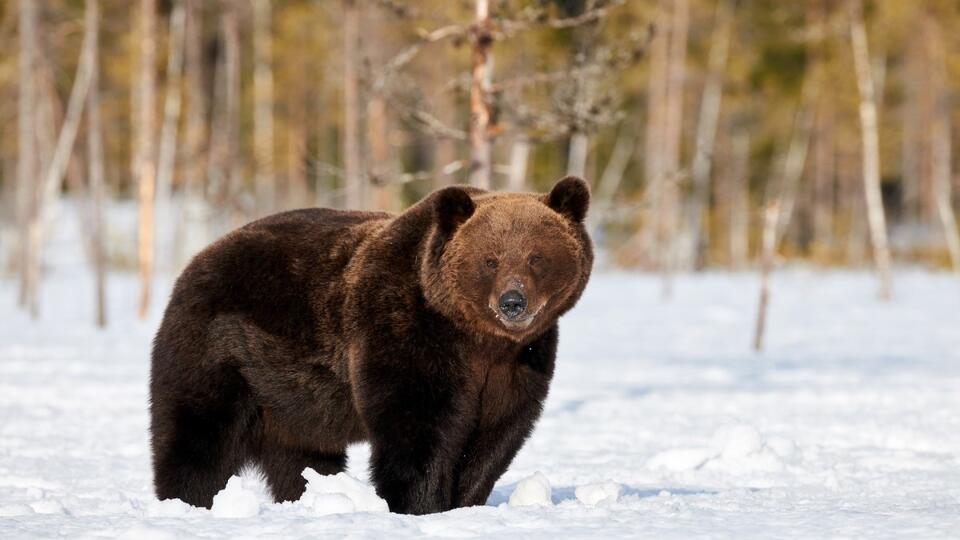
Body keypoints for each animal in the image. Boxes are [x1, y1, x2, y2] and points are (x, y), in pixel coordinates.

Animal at [149, 176, 593, 515]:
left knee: (301, 456)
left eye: (536, 257)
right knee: (197, 436)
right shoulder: (406, 330)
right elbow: (417, 430)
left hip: (288, 400)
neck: (479, 341)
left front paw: (465, 502)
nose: (513, 302)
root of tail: (197, 259)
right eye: (491, 259)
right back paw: (186, 501)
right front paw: (419, 505)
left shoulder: (521, 364)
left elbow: (494, 438)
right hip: (222, 354)